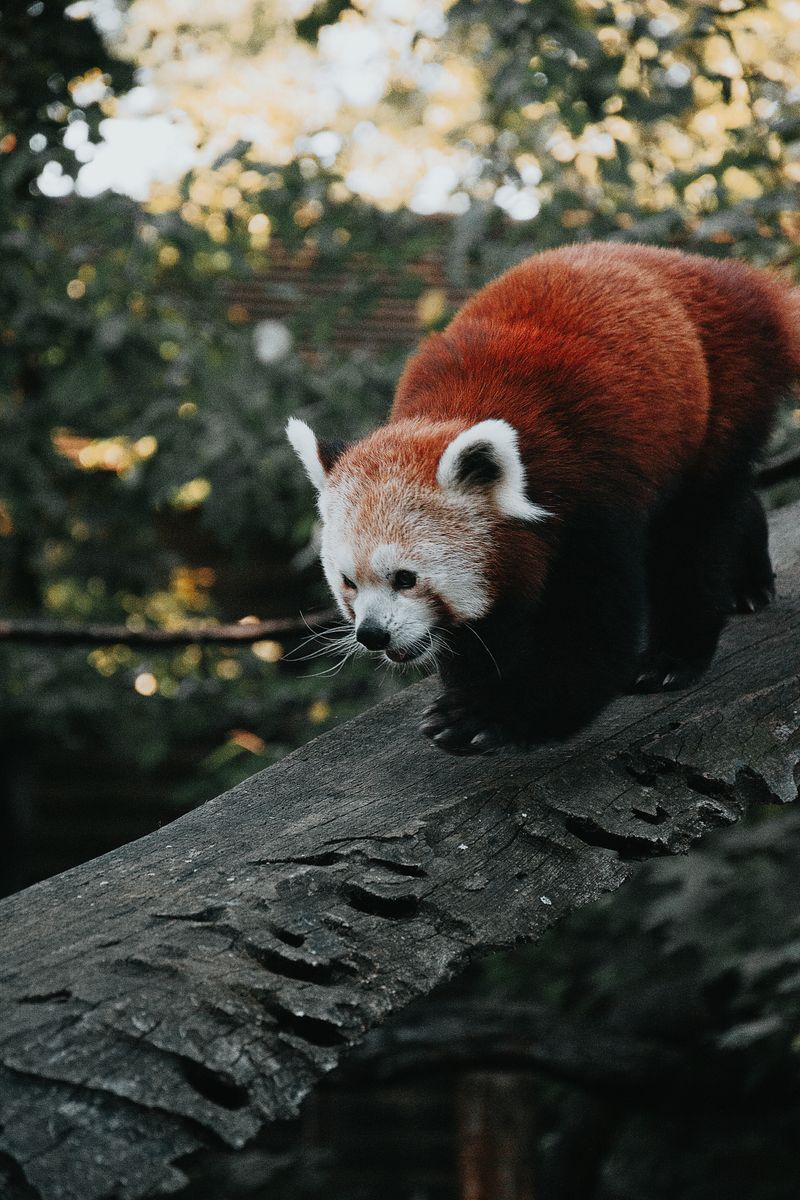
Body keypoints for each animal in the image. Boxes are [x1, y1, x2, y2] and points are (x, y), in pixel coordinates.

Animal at [287, 242, 799, 754]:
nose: (372, 634)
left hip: (722, 389)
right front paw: (474, 690)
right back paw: (748, 582)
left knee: (695, 528)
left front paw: (494, 714)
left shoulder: (591, 494)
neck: (456, 411)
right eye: (348, 583)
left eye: (405, 578)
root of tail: (728, 276)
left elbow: (592, 633)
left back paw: (674, 655)